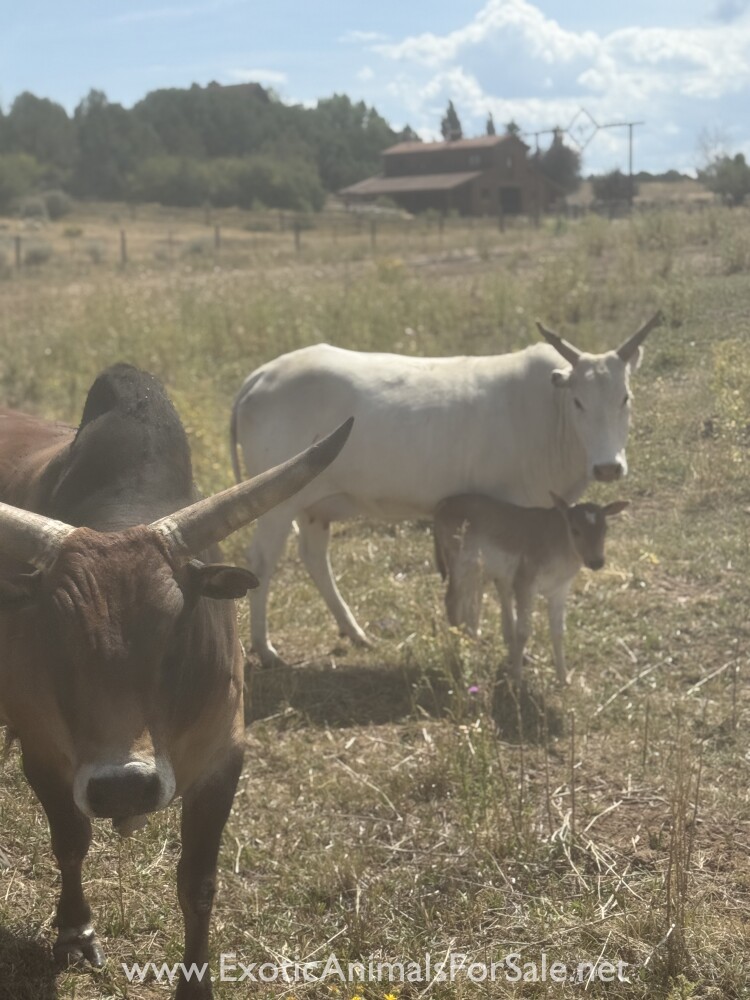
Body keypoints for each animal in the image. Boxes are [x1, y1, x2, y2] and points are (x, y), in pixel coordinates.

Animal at [0, 364, 352, 998]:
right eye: (54, 630)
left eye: (175, 627)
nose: (122, 786)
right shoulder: (42, 753)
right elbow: (70, 843)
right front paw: (74, 931)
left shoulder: (222, 756)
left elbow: (198, 884)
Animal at [433, 492, 629, 685]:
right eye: (575, 530)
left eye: (605, 529)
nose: (596, 561)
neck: (559, 548)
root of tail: (441, 505)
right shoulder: (524, 582)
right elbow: (523, 632)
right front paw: (517, 678)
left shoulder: (560, 589)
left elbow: (558, 632)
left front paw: (563, 678)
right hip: (459, 562)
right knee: (451, 601)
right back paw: (459, 650)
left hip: (474, 570)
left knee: (467, 601)